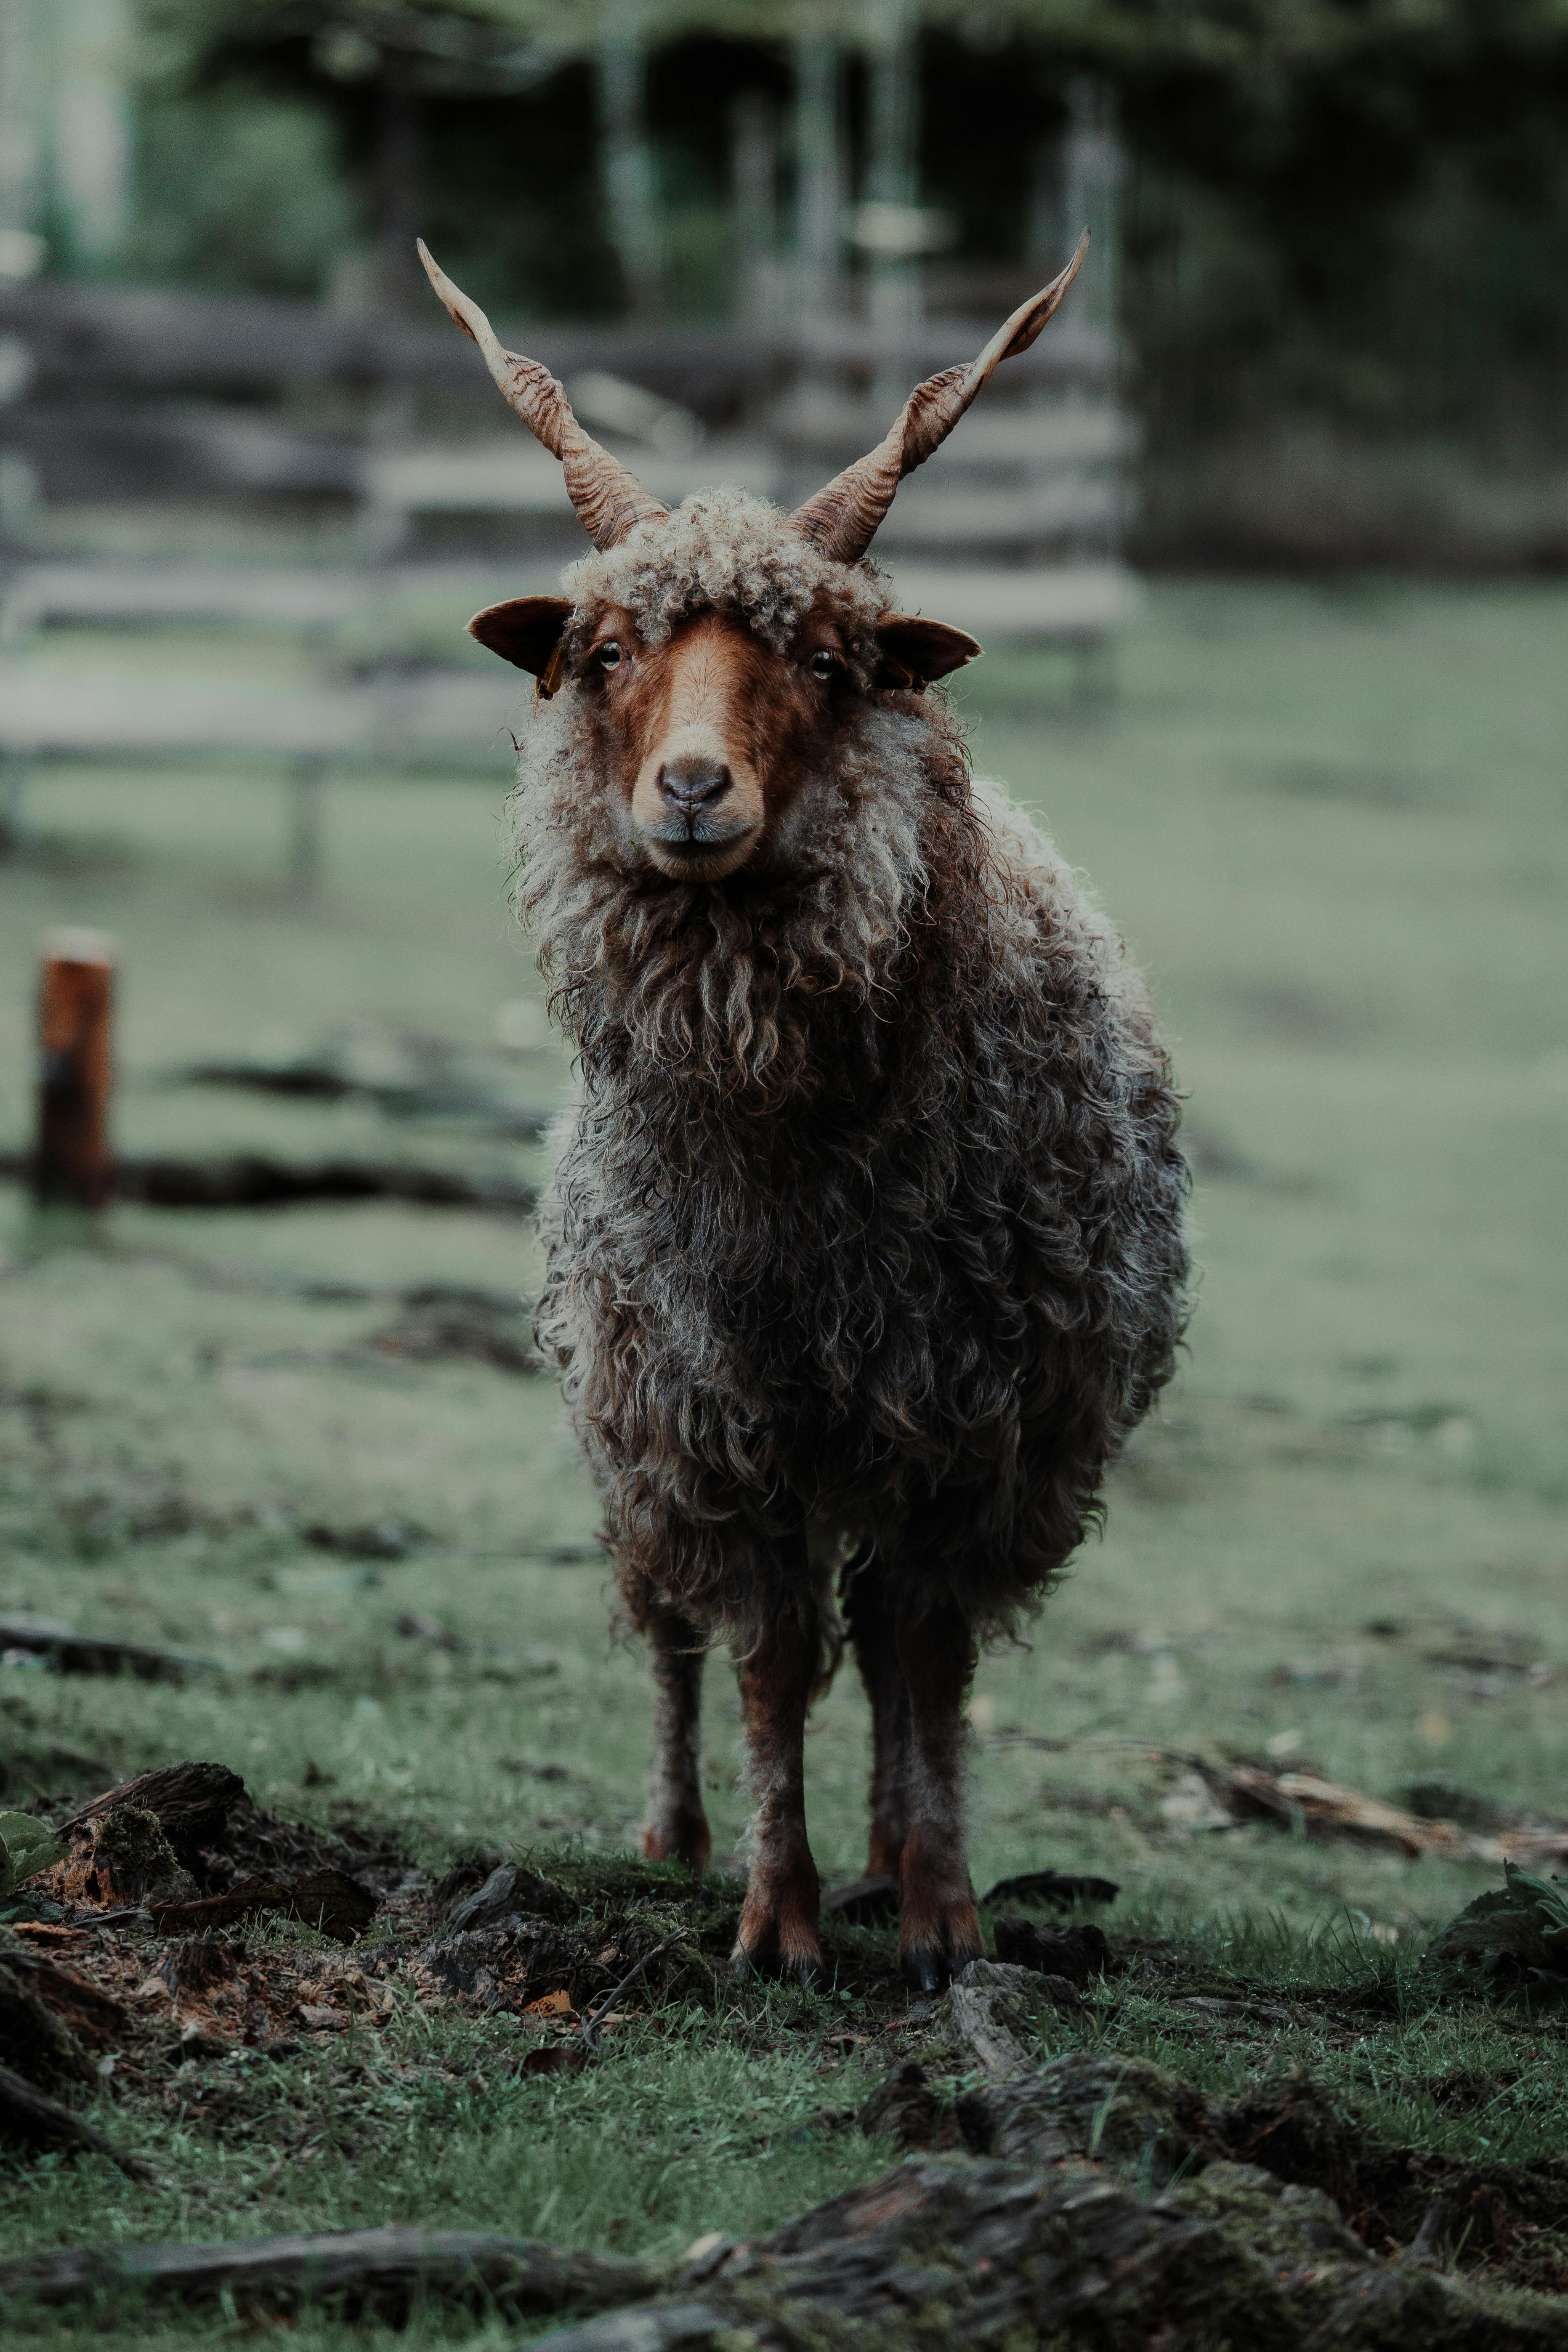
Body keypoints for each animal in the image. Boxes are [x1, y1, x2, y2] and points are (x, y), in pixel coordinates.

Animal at [420, 235, 1188, 1990]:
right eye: (606, 653)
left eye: (829, 664)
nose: (693, 790)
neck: (804, 1157)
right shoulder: (717, 1416)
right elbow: (771, 1661)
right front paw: (774, 1917)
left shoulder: (983, 1427)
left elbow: (929, 1658)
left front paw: (939, 1905)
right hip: (627, 1439)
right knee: (670, 1635)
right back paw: (675, 1830)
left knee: (895, 1652)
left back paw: (892, 1852)